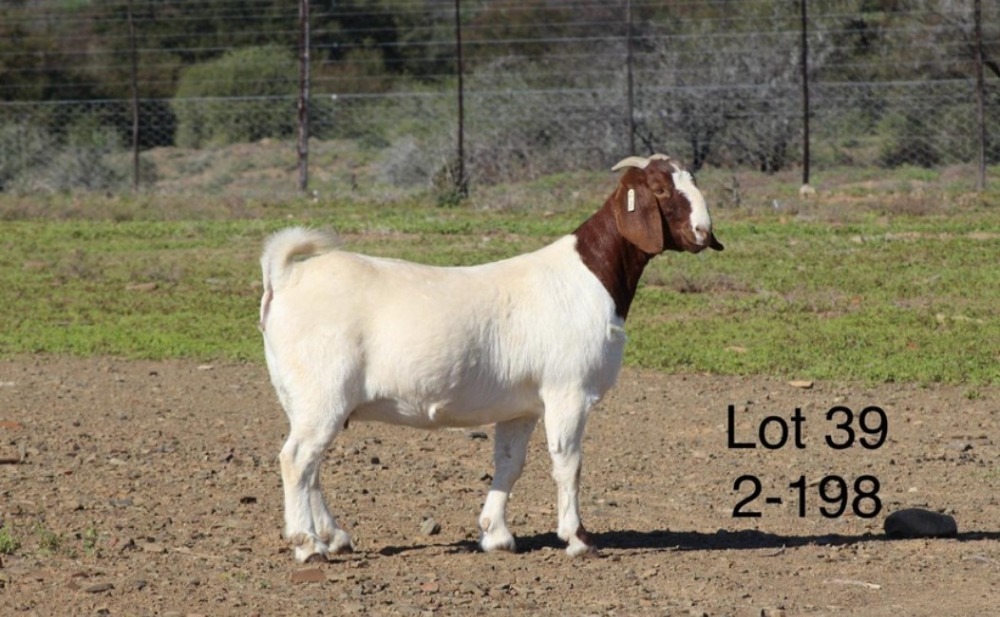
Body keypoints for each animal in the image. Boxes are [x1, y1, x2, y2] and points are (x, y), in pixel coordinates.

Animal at [259, 154, 723, 562]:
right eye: (660, 189)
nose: (703, 232)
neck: (588, 277)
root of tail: (287, 276)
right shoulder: (568, 392)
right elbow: (567, 463)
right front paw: (578, 539)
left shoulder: (521, 407)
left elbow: (510, 464)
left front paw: (496, 535)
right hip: (323, 391)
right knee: (296, 460)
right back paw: (308, 545)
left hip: (304, 399)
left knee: (311, 466)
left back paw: (335, 537)